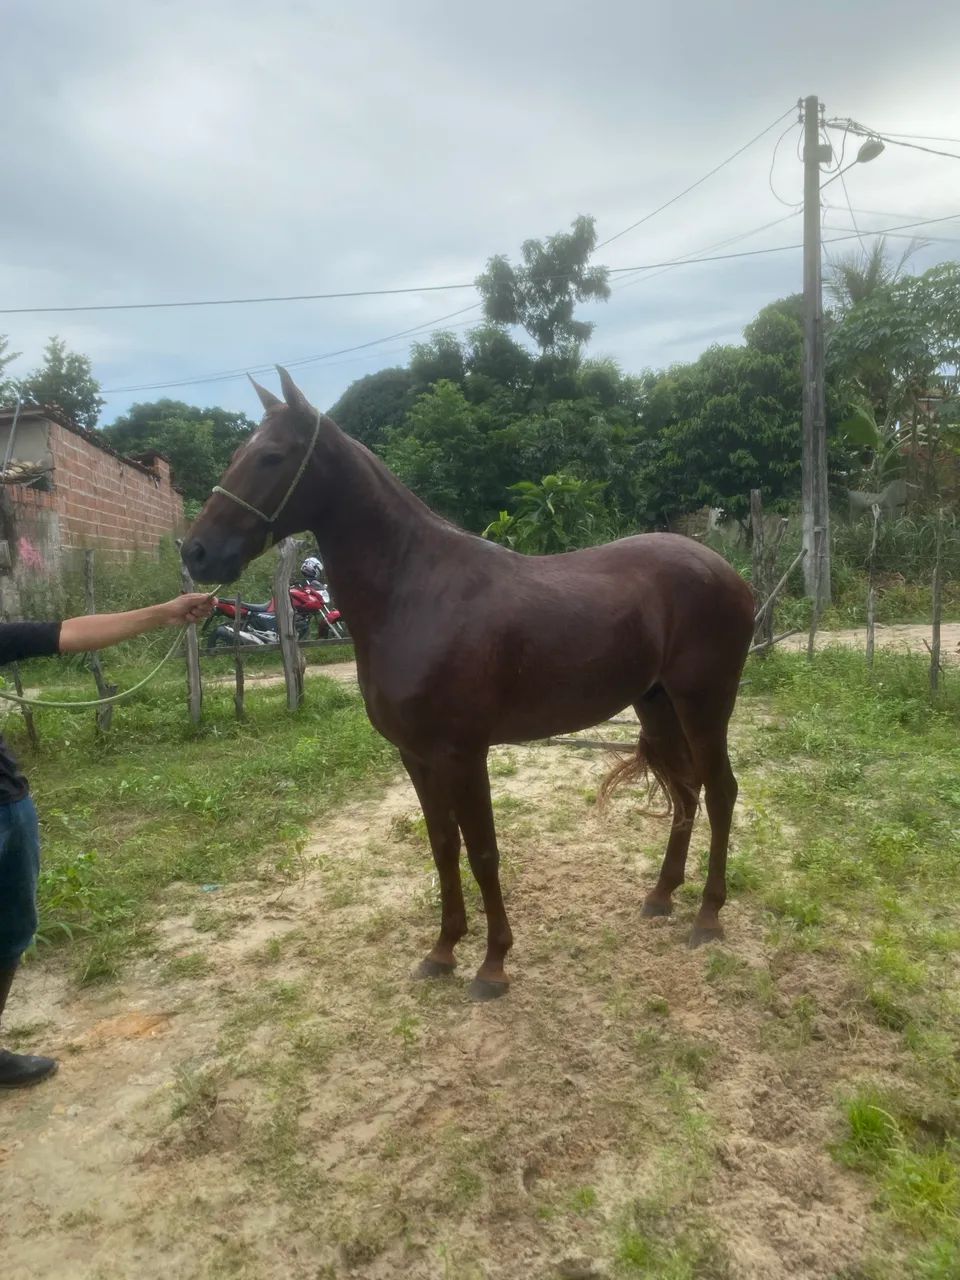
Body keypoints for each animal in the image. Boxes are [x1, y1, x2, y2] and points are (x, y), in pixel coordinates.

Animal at [181, 368, 755, 1000]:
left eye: (272, 457)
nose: (196, 553)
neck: (415, 593)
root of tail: (729, 573)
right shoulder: (416, 756)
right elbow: (442, 847)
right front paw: (442, 951)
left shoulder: (463, 753)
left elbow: (483, 852)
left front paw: (493, 964)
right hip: (657, 704)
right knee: (686, 791)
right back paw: (661, 895)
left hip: (705, 703)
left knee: (720, 791)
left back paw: (708, 915)